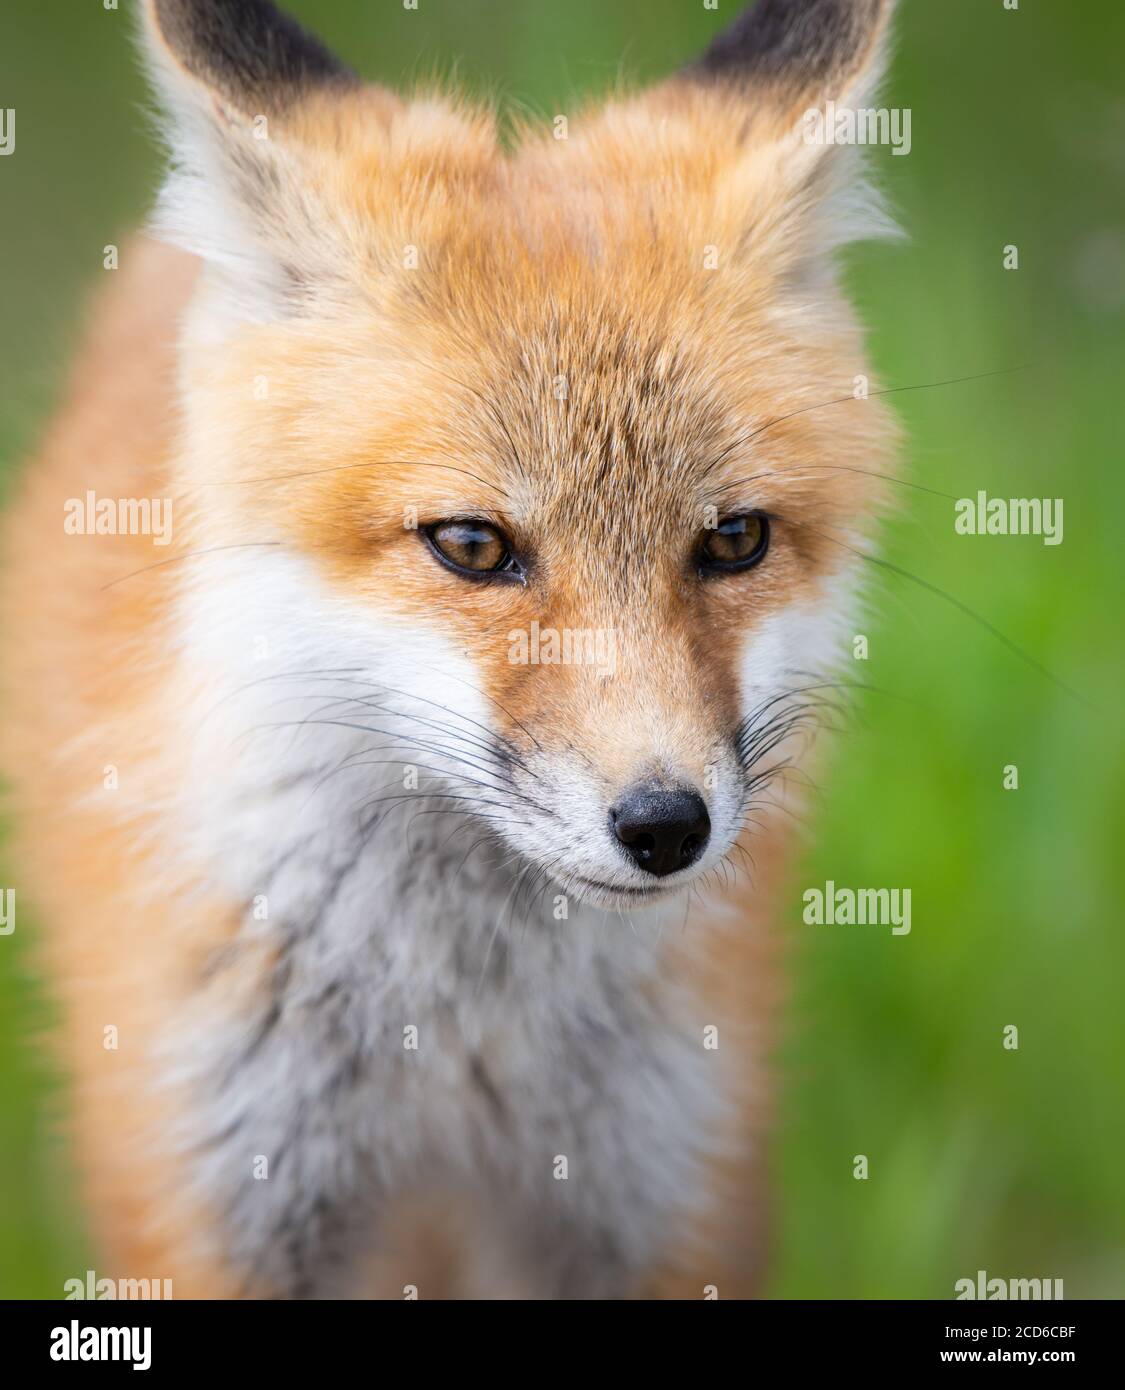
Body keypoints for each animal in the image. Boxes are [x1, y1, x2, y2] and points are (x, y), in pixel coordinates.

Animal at [1, 0, 901, 1299]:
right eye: (472, 545)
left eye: (734, 540)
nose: (665, 826)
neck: (460, 1031)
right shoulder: (218, 1197)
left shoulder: (651, 1195)